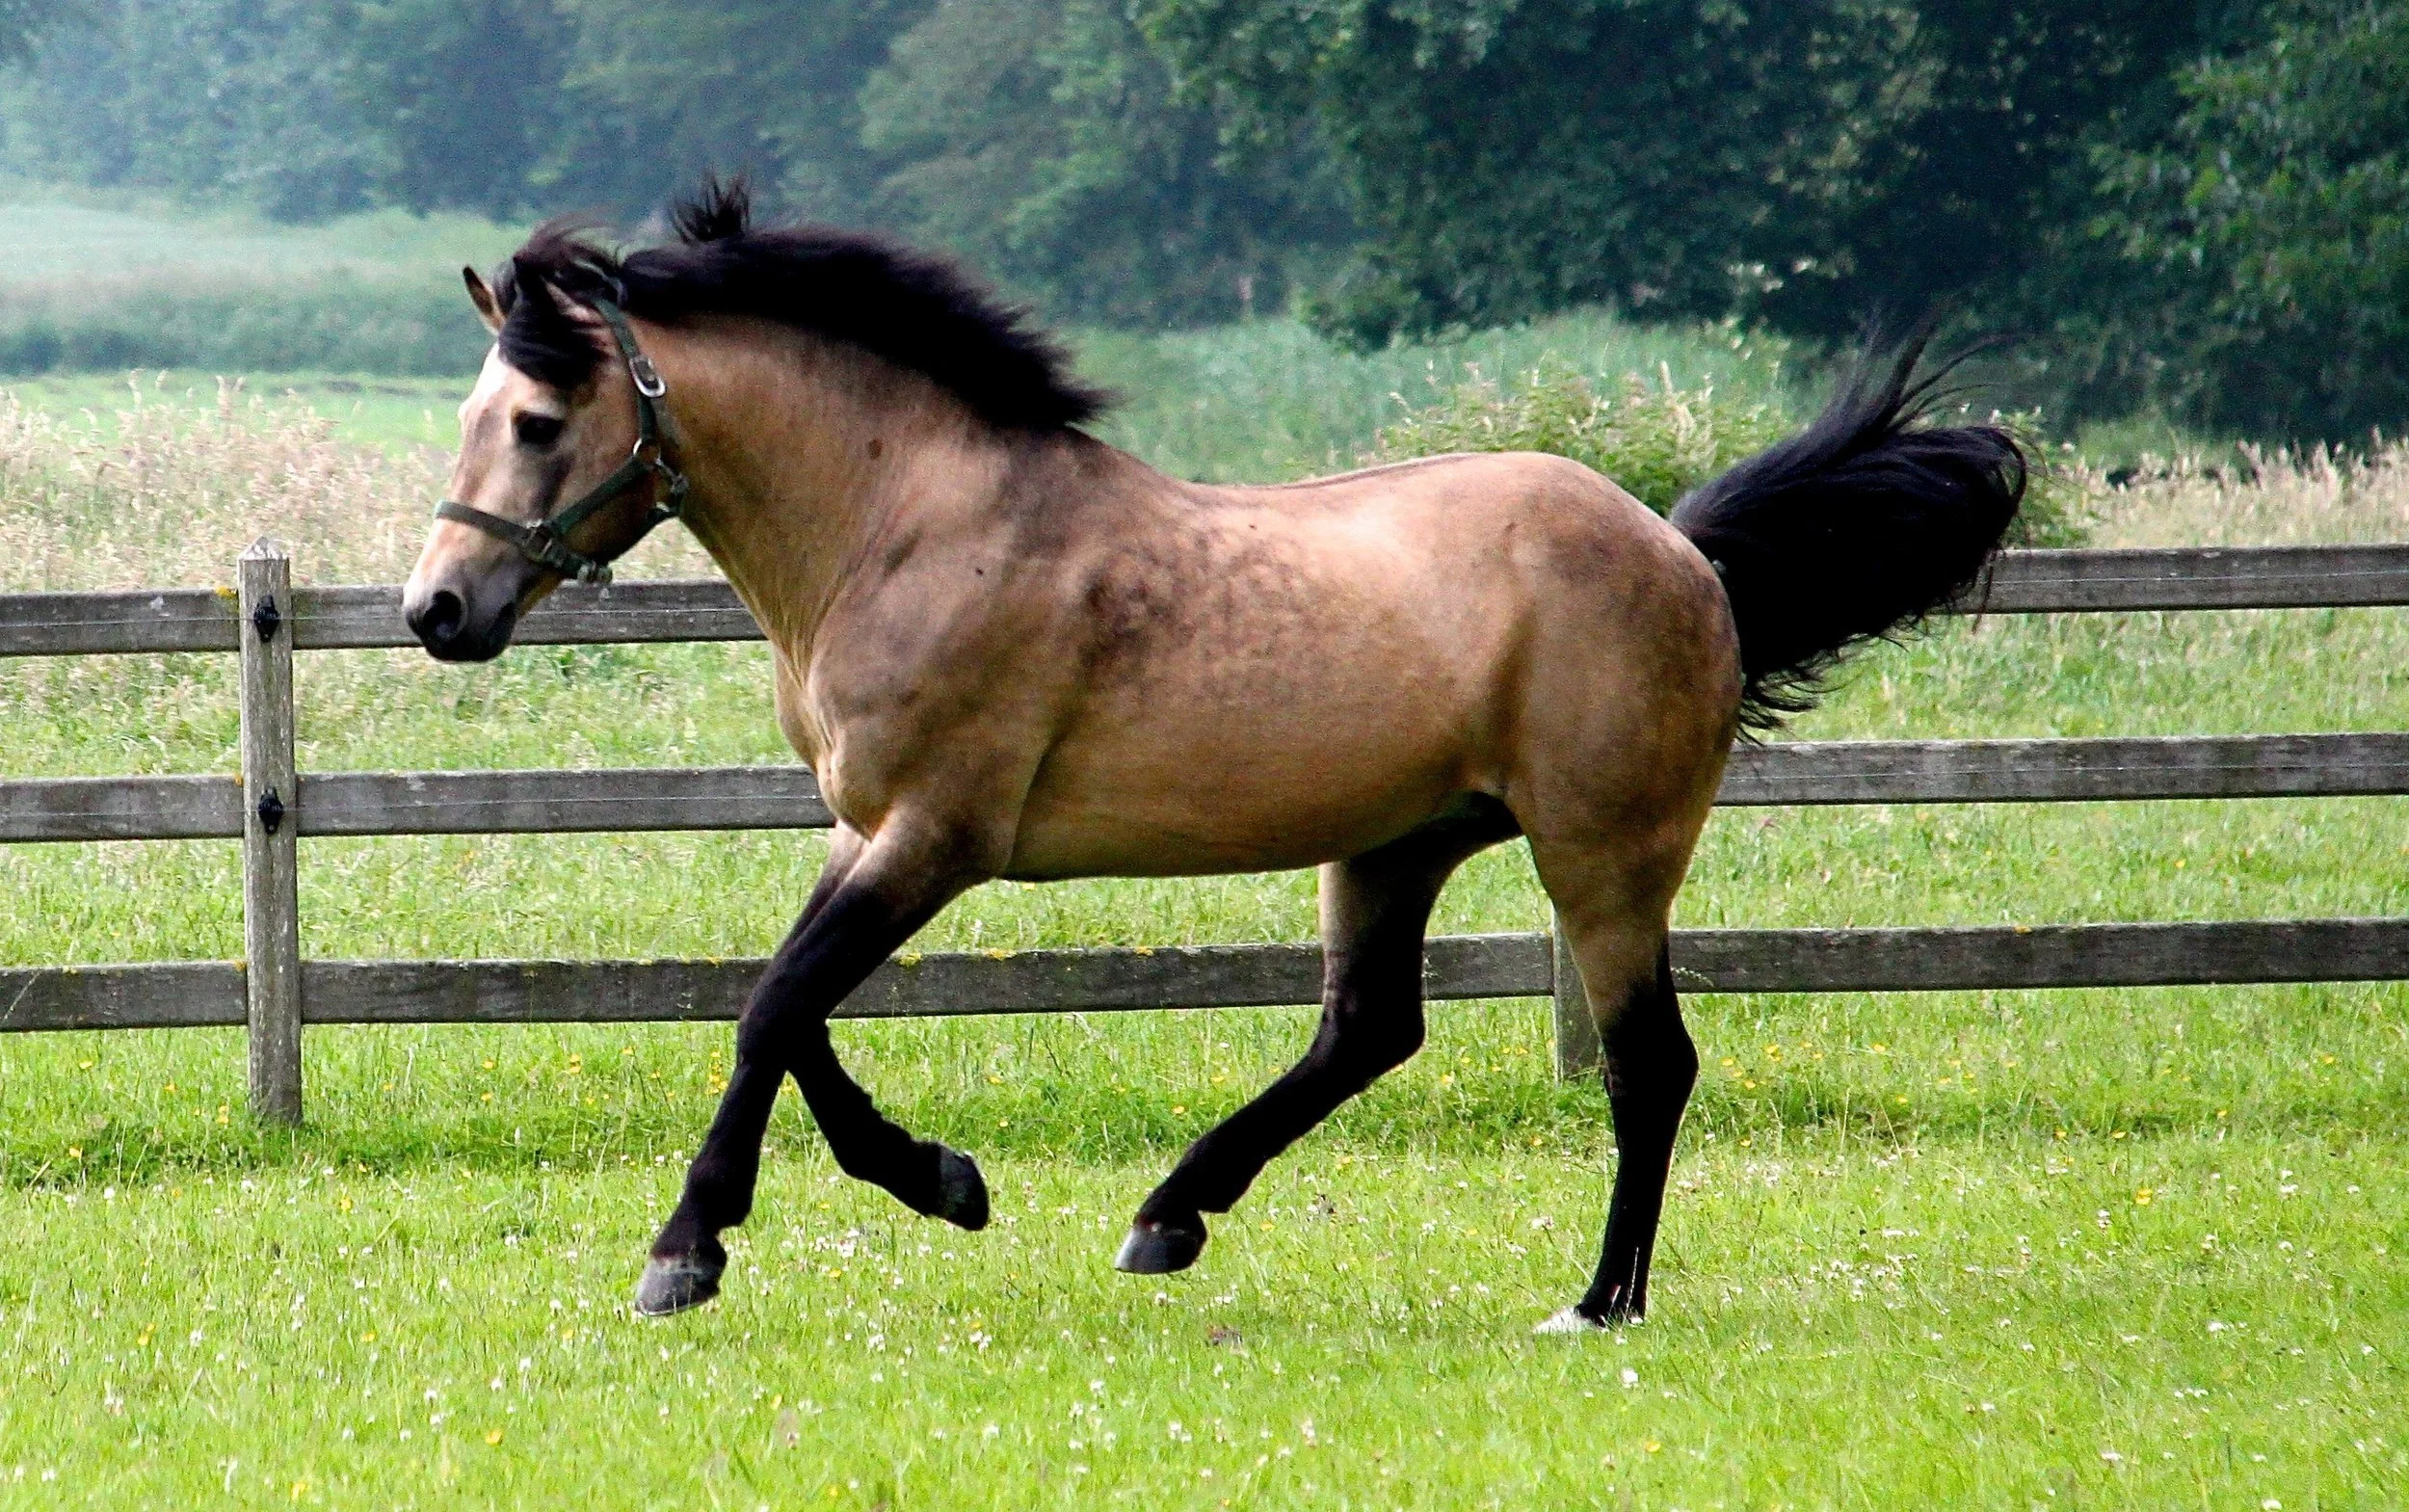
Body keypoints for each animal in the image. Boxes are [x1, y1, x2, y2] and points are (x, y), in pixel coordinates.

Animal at [401, 179, 2023, 1332]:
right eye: (477, 414)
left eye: (536, 420)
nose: (438, 611)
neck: (910, 525)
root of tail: (1686, 555)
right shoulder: (864, 831)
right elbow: (789, 1013)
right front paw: (945, 1183)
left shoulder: (939, 833)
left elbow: (771, 1009)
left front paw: (689, 1248)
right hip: (1397, 843)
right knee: (1369, 1030)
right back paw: (1172, 1212)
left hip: (1605, 858)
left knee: (1649, 1063)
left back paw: (1599, 1302)